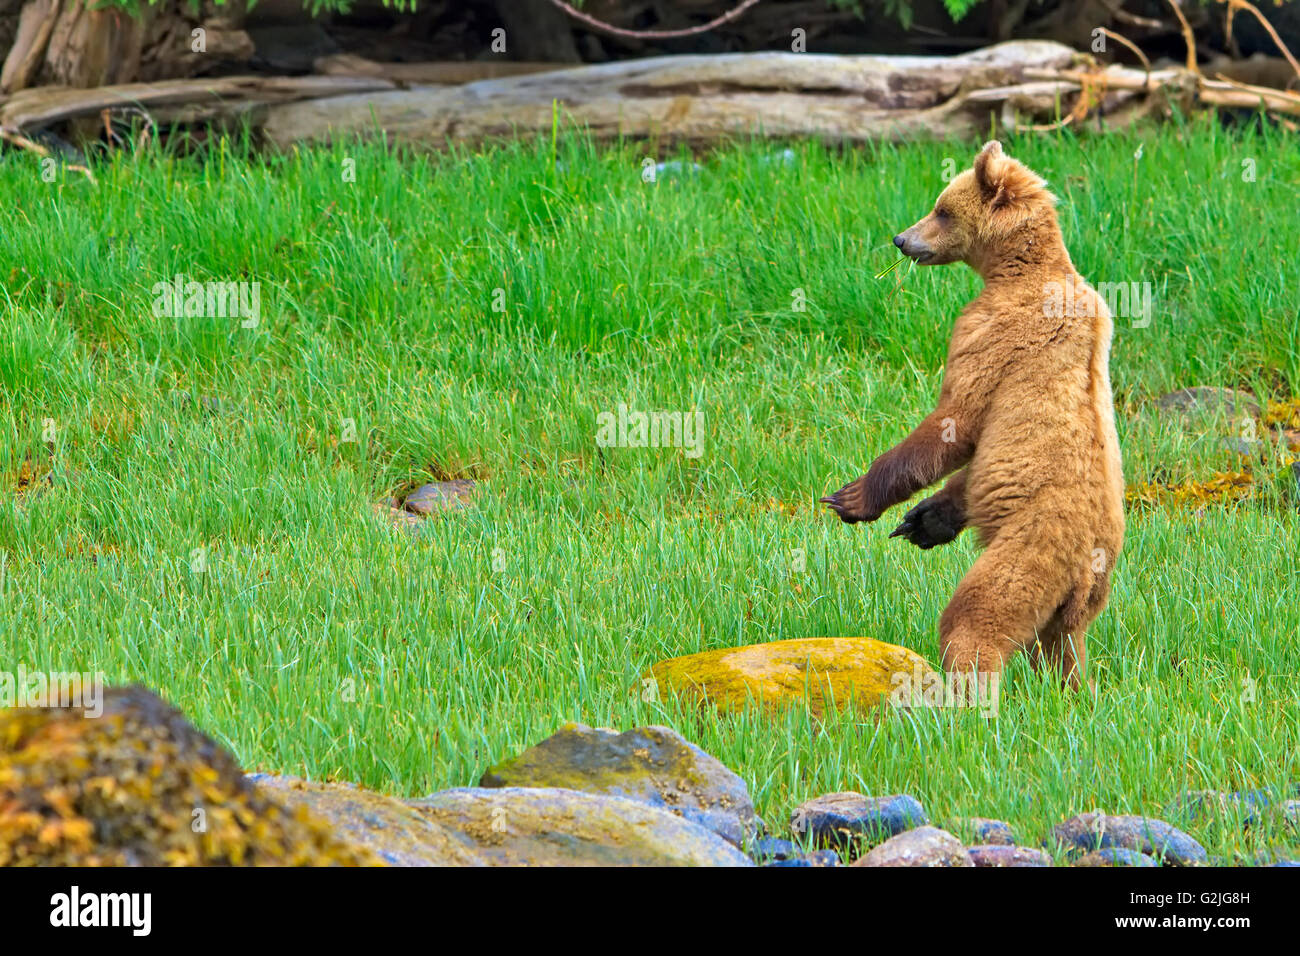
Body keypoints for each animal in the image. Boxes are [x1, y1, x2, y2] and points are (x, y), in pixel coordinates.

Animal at [821, 140, 1124, 691]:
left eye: (943, 209)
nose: (901, 239)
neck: (1020, 271)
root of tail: (1087, 563)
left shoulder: (991, 333)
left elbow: (955, 422)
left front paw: (851, 498)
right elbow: (971, 463)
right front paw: (921, 520)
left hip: (1026, 552)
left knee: (976, 616)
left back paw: (966, 684)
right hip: (1082, 603)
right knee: (1065, 649)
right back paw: (1073, 690)